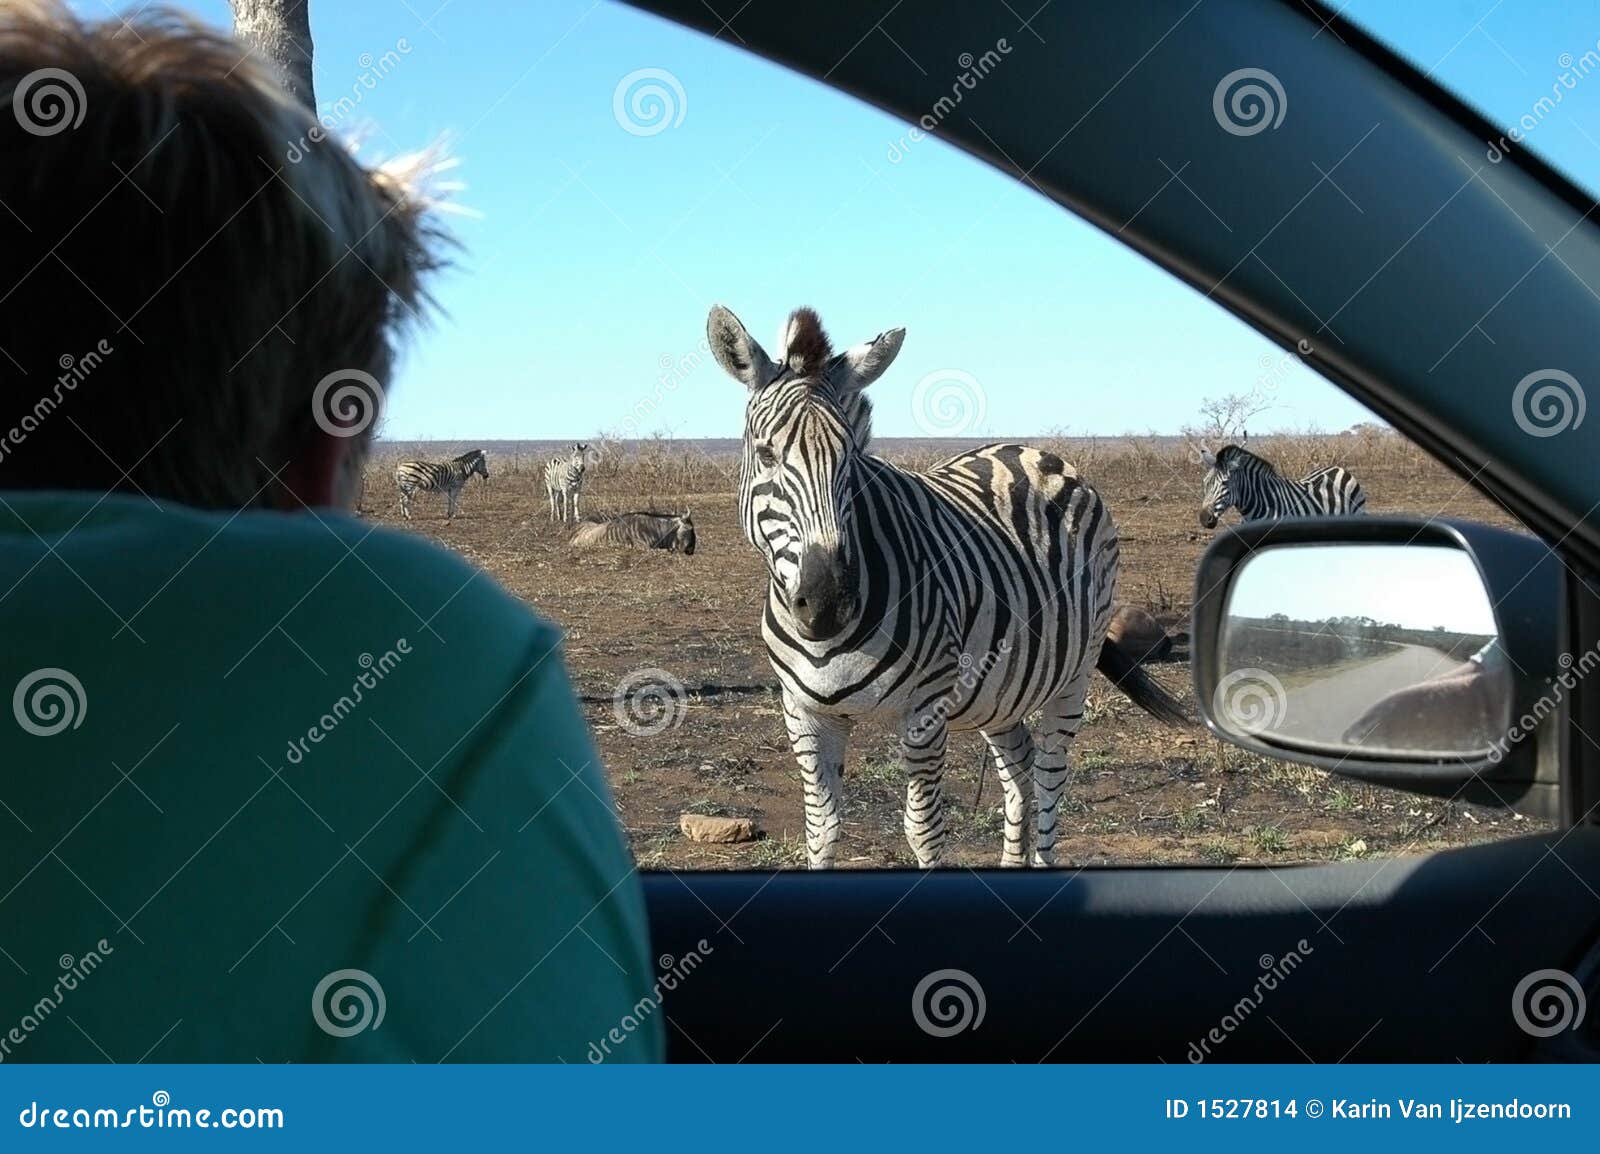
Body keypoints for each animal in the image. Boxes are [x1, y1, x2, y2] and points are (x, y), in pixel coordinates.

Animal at [707, 304, 1187, 870]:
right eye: (765, 455)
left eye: (851, 461)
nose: (826, 604)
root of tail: (1037, 453)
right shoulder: (804, 714)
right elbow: (820, 831)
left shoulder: (926, 708)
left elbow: (923, 831)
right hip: (1002, 685)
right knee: (1020, 764)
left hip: (1075, 669)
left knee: (1050, 773)